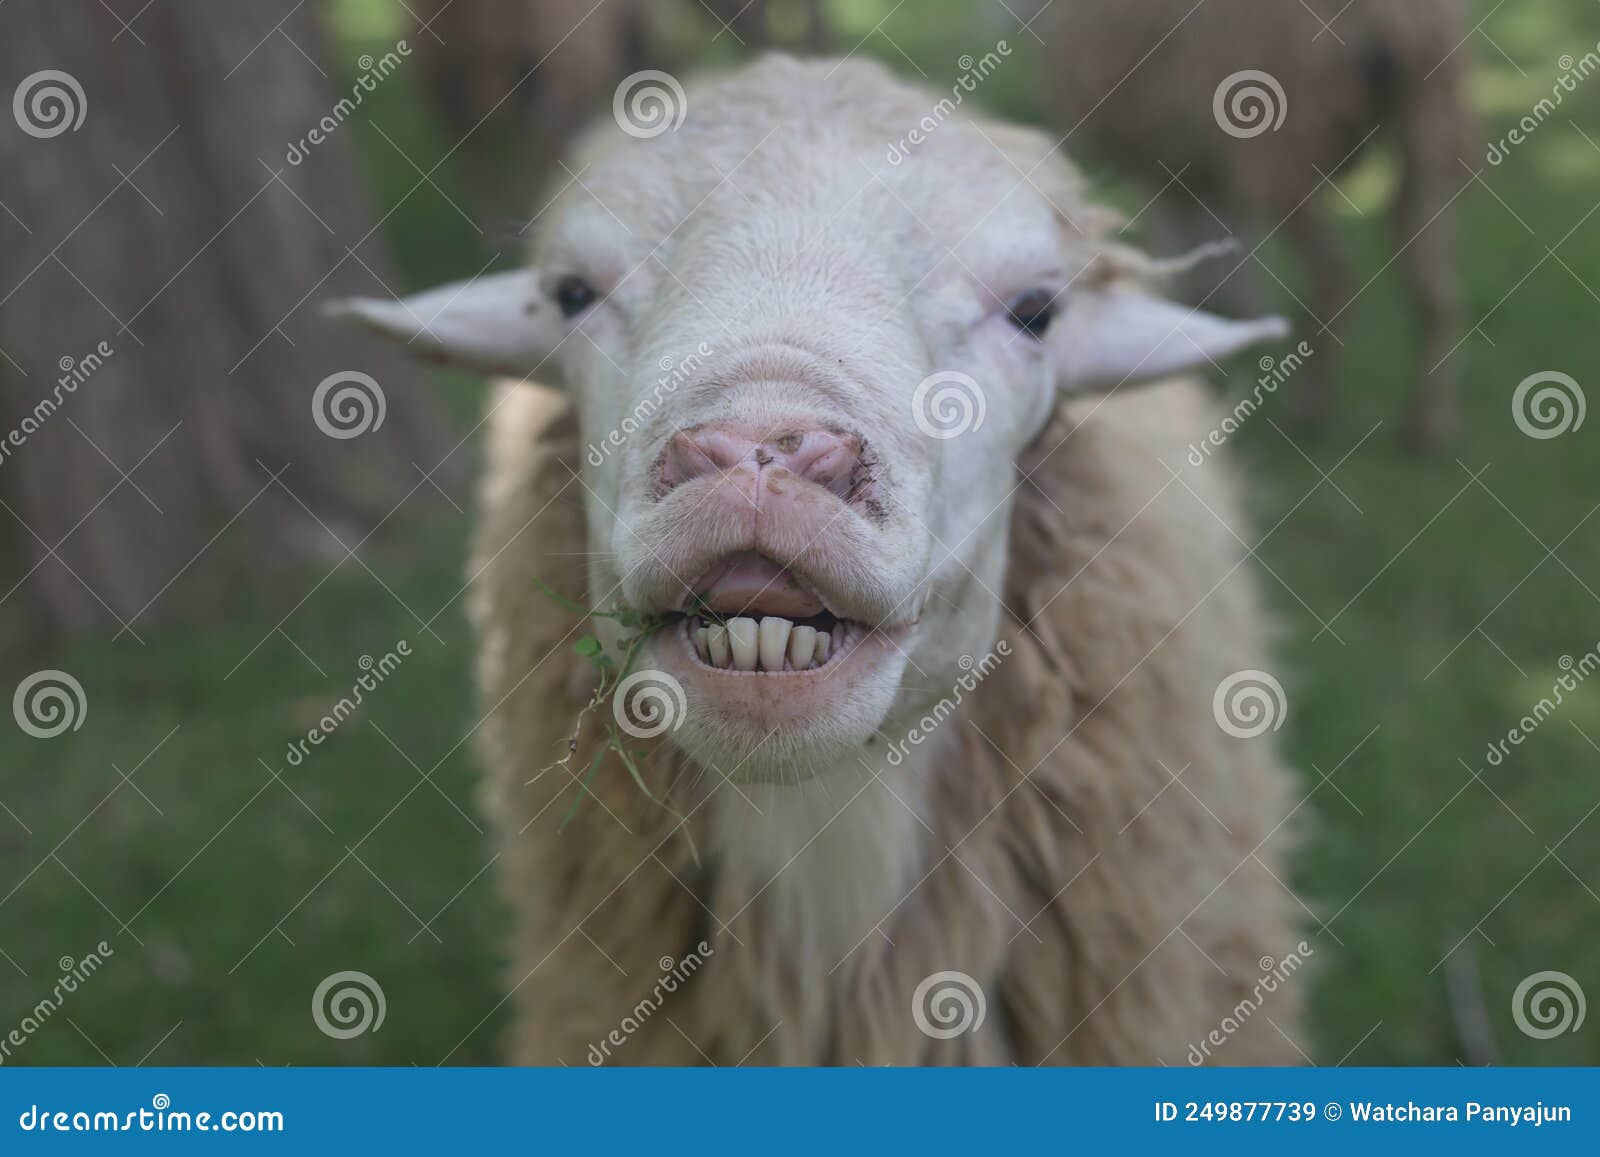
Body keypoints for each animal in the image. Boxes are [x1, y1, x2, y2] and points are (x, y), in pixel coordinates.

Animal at [1045, 0, 1474, 452]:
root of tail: (1391, 17)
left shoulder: (1164, 150)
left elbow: (1175, 240)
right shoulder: (1196, 154)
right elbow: (1227, 237)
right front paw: (1226, 311)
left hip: (1285, 138)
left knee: (1335, 275)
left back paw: (1309, 407)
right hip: (1429, 131)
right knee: (1434, 287)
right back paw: (1428, 426)